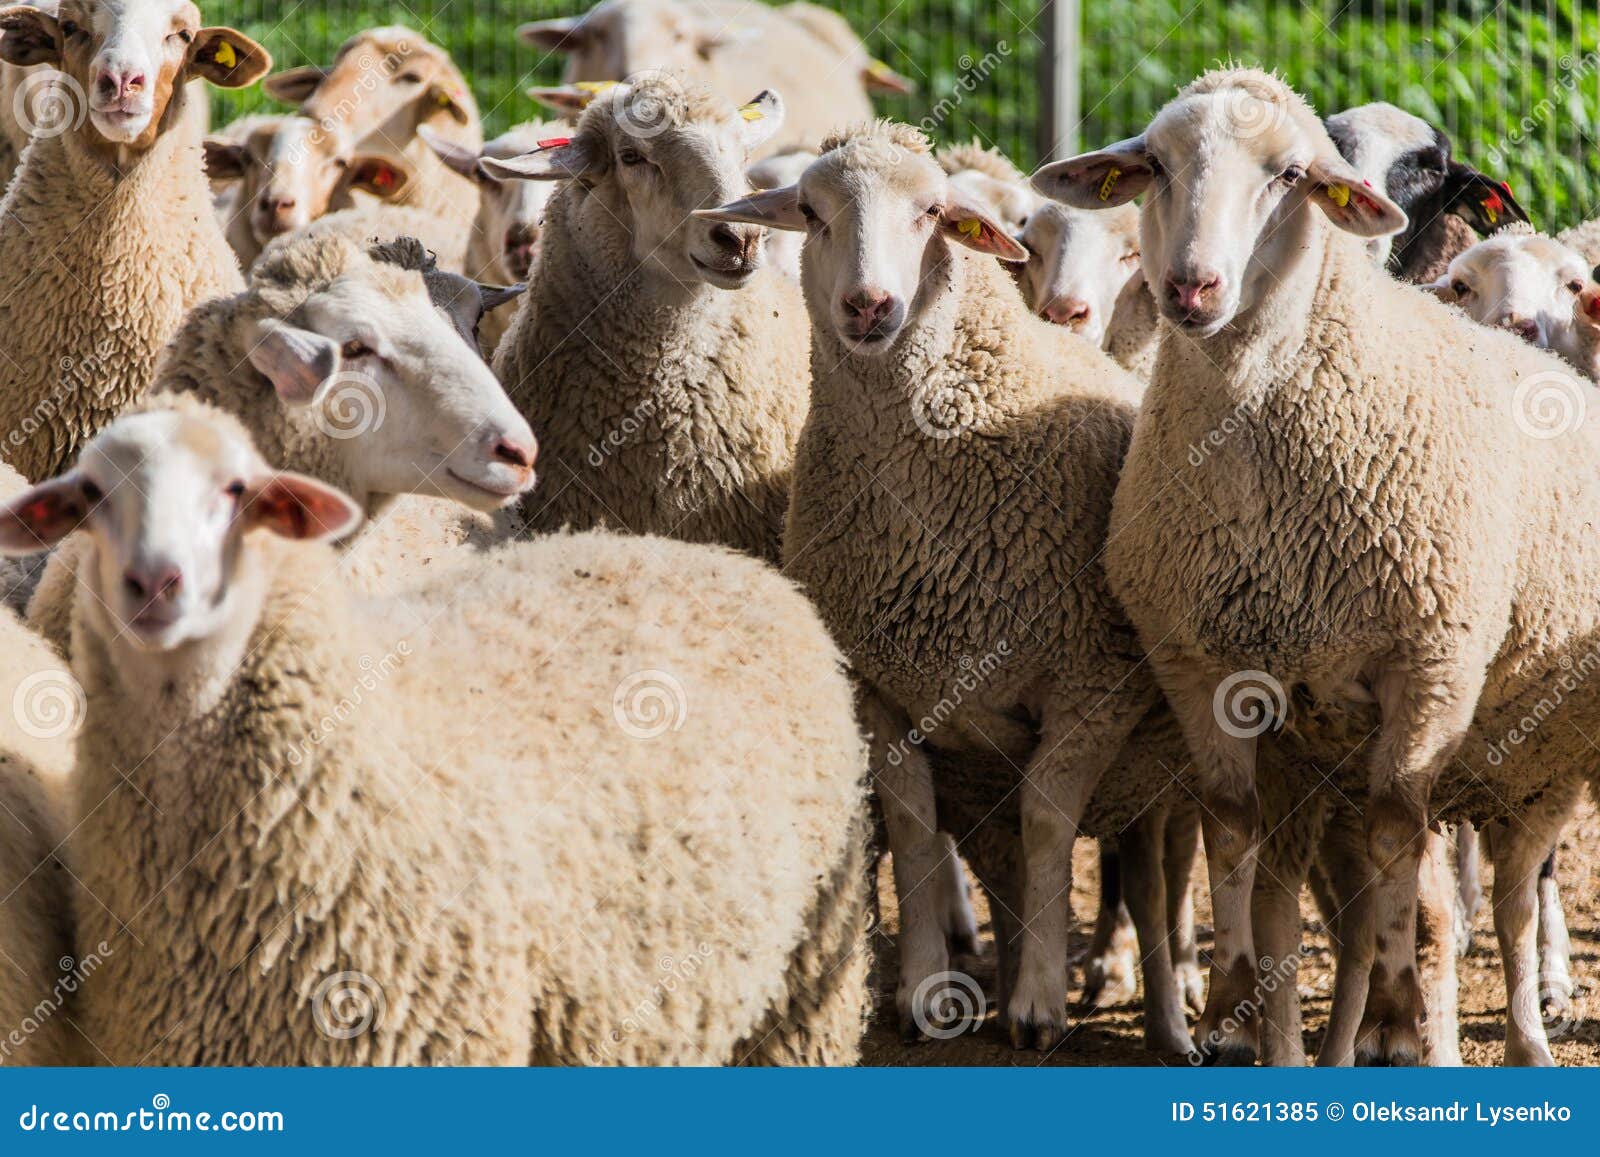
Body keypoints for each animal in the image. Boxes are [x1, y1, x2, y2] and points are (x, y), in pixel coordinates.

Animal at [696, 119, 1216, 1054]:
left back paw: (1169, 1000)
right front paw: (924, 991)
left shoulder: (1092, 684)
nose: (869, 305)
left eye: (931, 213)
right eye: (811, 213)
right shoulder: (878, 685)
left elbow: (1049, 820)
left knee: (1159, 866)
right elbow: (909, 819)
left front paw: (1040, 1004)